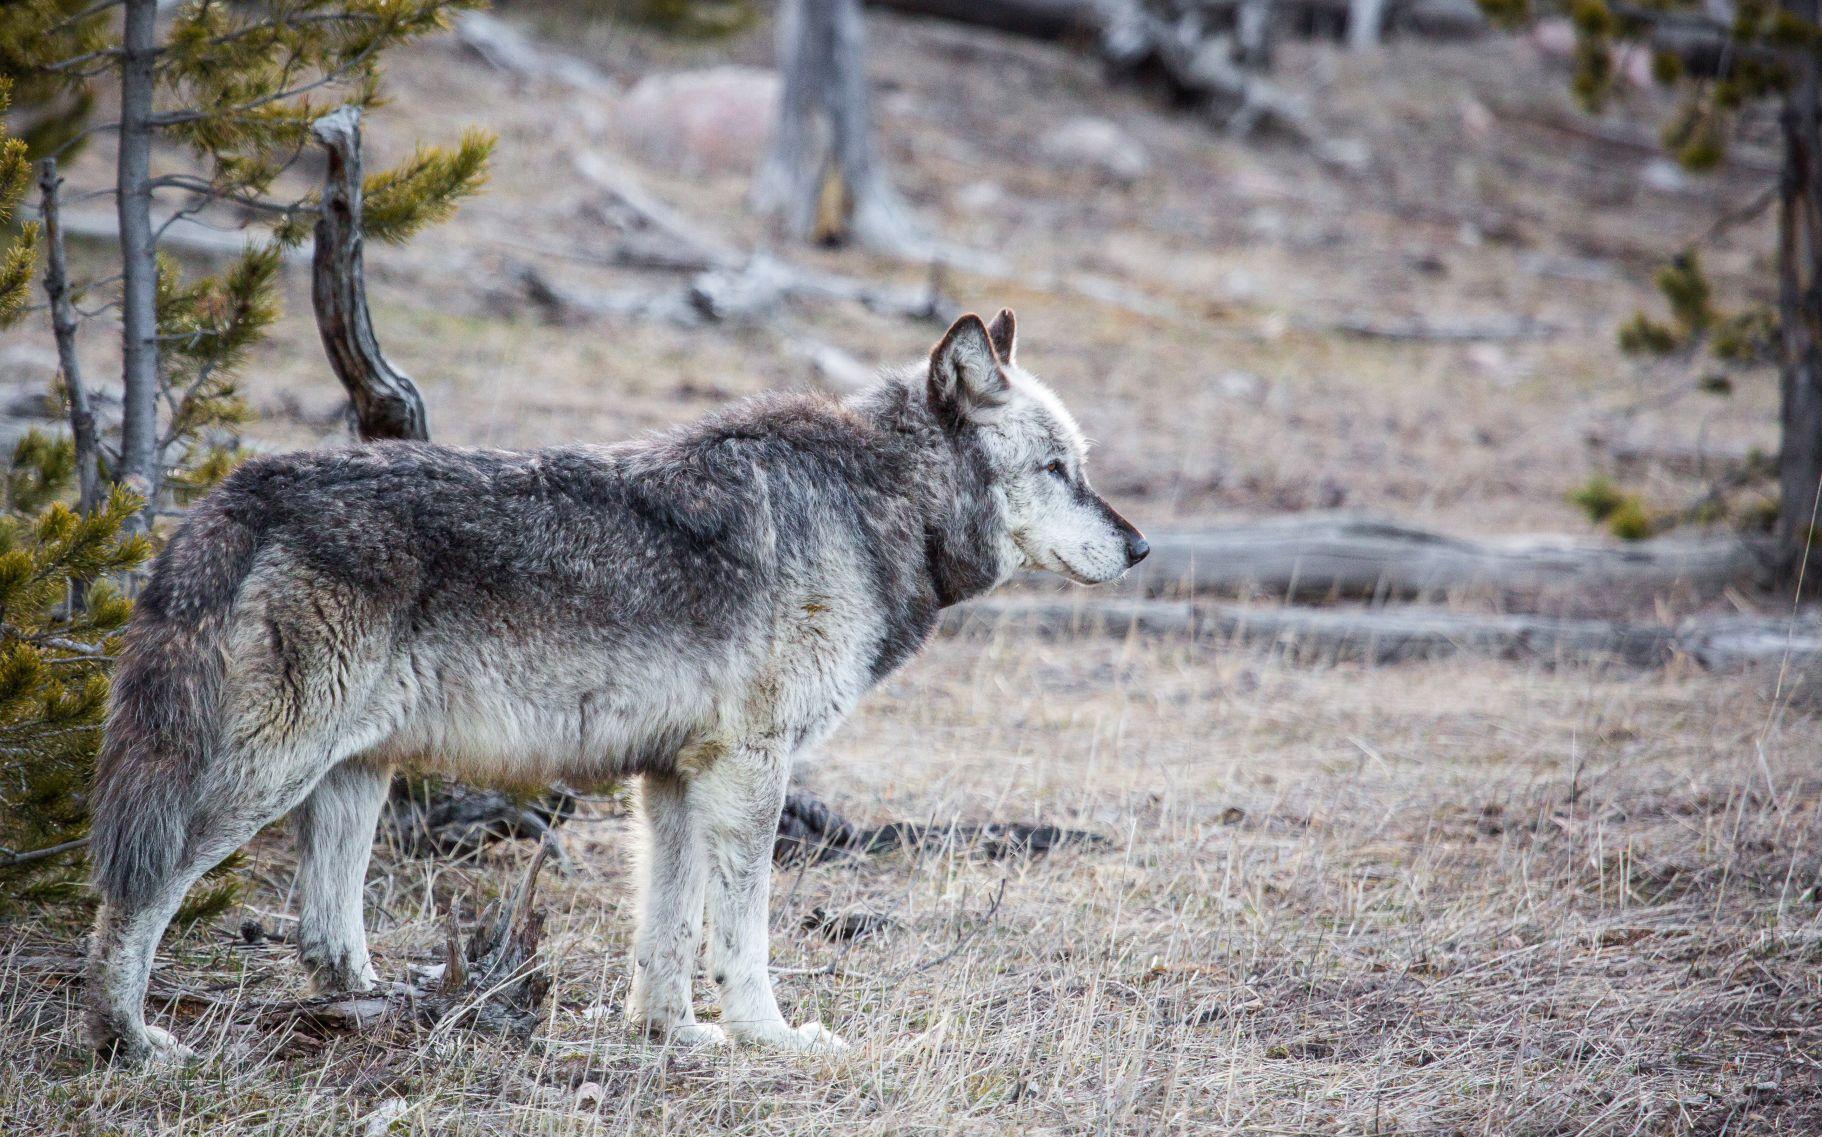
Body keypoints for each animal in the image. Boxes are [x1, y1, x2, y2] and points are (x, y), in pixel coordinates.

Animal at [85, 310, 1147, 1061]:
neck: (876, 501)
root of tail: (237, 490)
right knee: (137, 891)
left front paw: (672, 1033)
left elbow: (665, 932)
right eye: (1058, 468)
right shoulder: (749, 769)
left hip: (353, 778)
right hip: (267, 776)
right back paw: (129, 1039)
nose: (1140, 547)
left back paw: (385, 1013)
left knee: (322, 935)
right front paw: (771, 1036)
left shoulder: (673, 777)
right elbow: (741, 932)